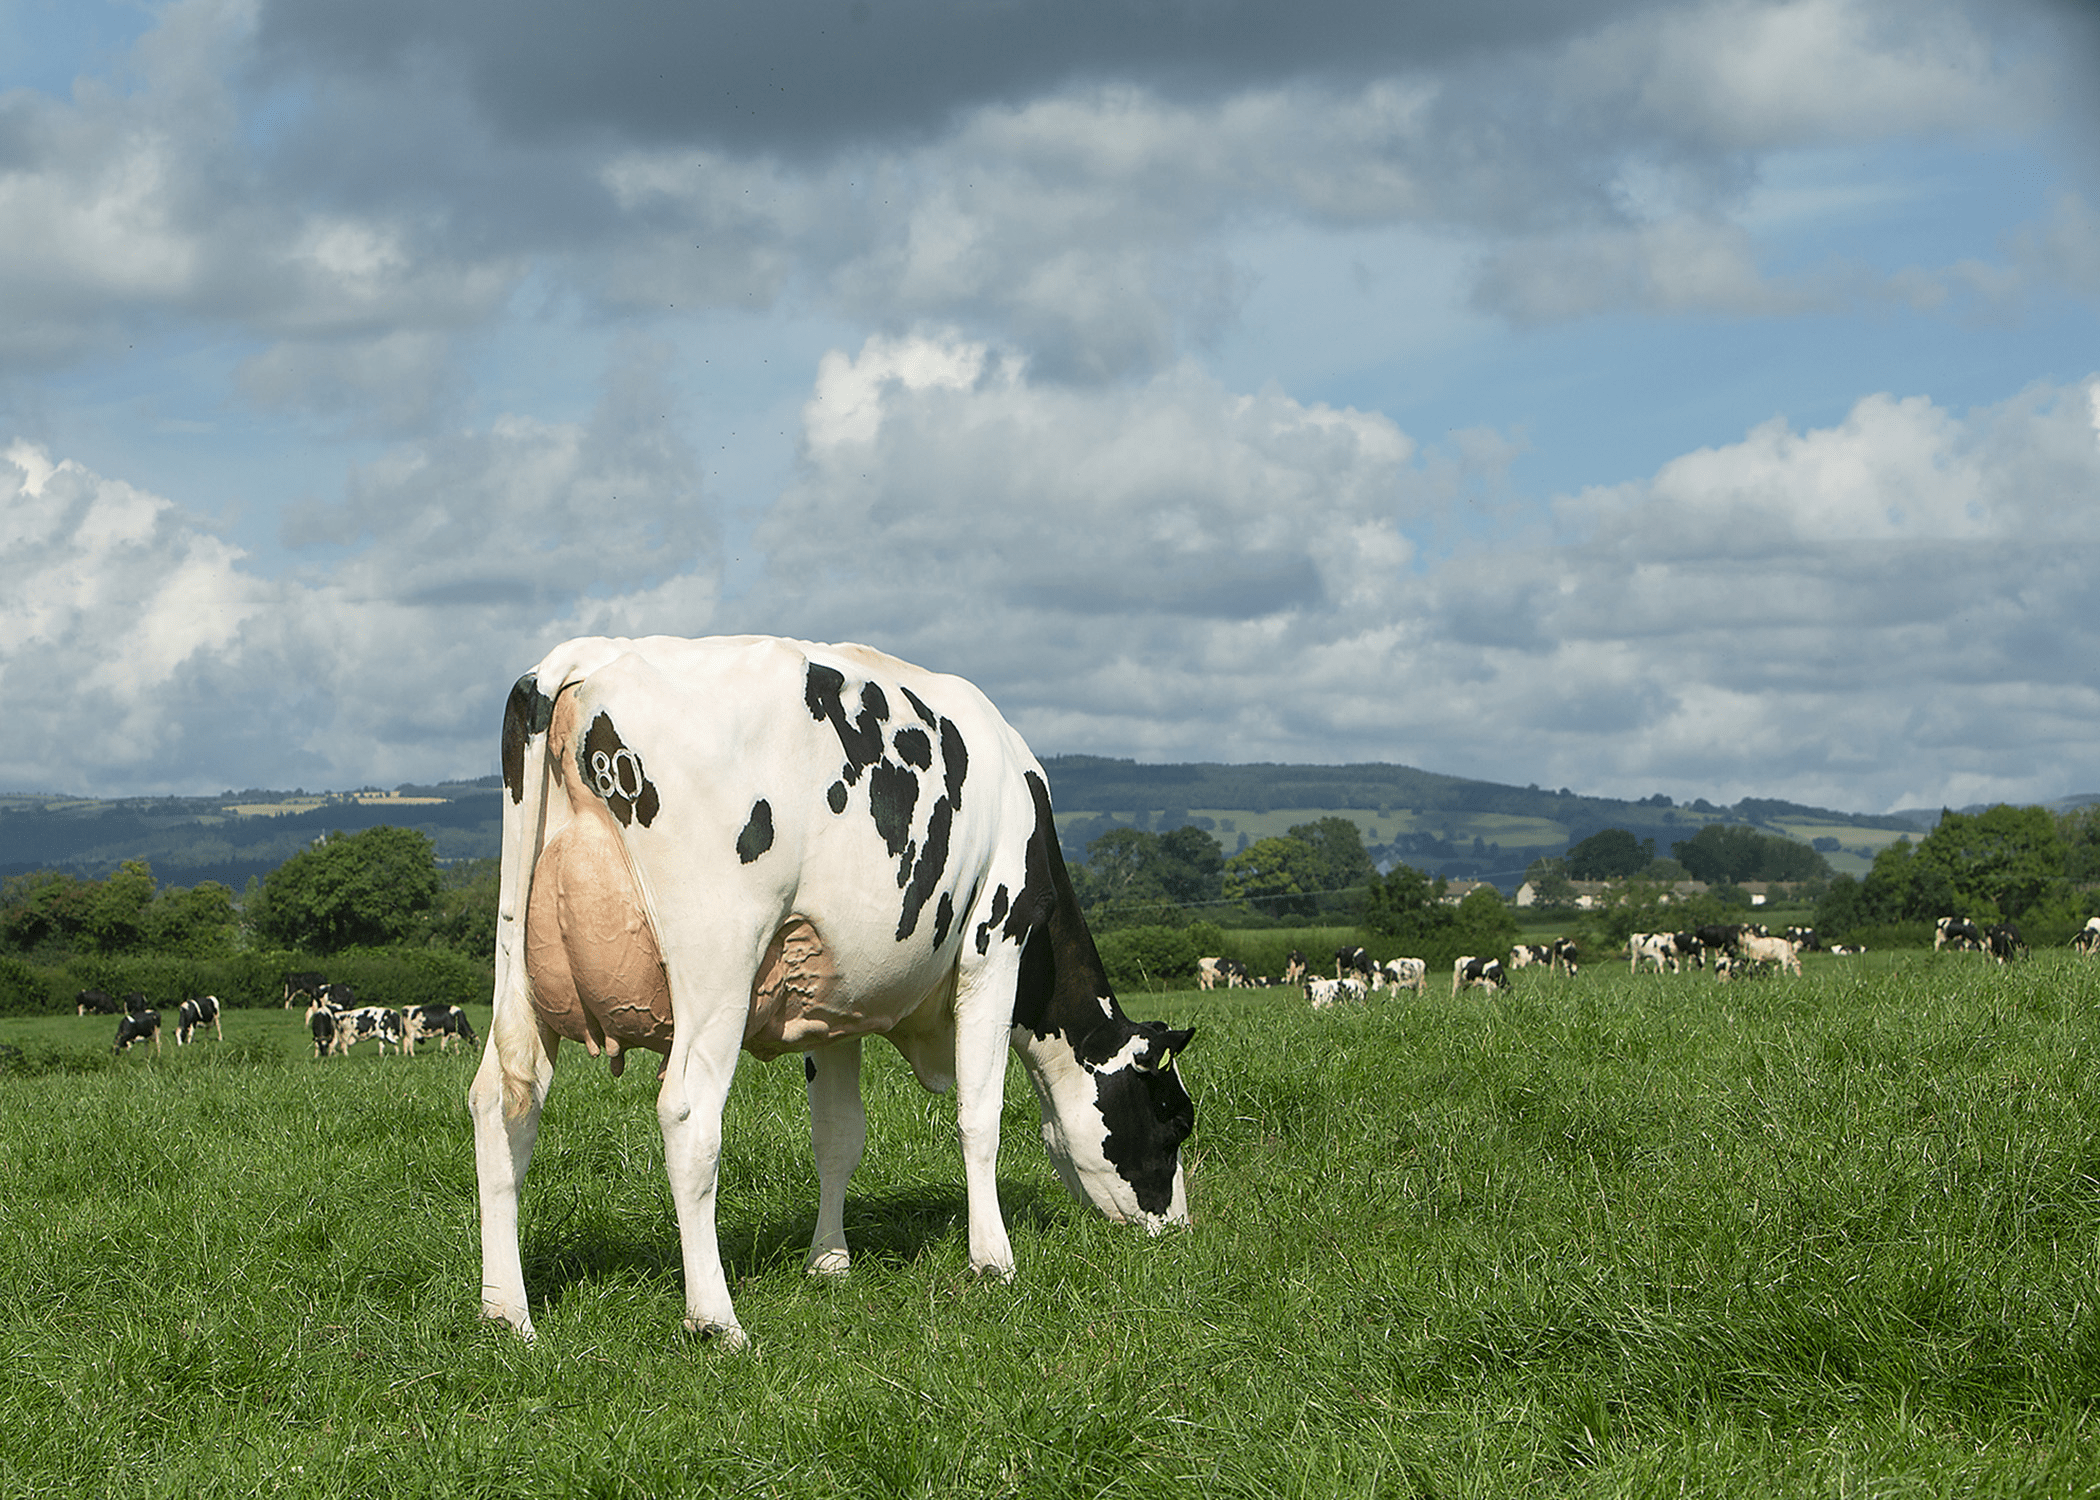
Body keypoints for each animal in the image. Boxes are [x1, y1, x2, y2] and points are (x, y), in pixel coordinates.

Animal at [472, 636, 1196, 1346]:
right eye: (1173, 1122)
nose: (1179, 1227)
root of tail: (586, 656)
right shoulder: (993, 949)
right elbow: (980, 1115)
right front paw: (993, 1259)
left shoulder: (831, 1003)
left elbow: (838, 1136)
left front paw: (829, 1262)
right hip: (717, 958)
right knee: (687, 1112)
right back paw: (715, 1316)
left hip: (516, 961)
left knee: (501, 1100)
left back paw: (507, 1312)